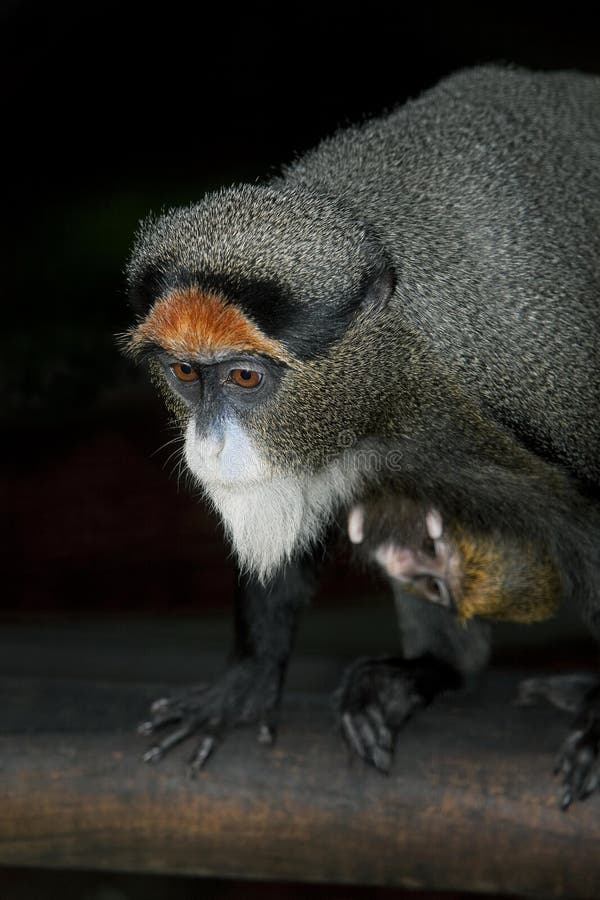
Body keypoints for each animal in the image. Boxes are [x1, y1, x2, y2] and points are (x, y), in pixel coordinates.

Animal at [123, 65, 600, 806]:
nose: (208, 445)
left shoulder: (532, 382)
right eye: (184, 372)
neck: (387, 358)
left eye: (244, 378)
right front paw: (245, 683)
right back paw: (433, 670)